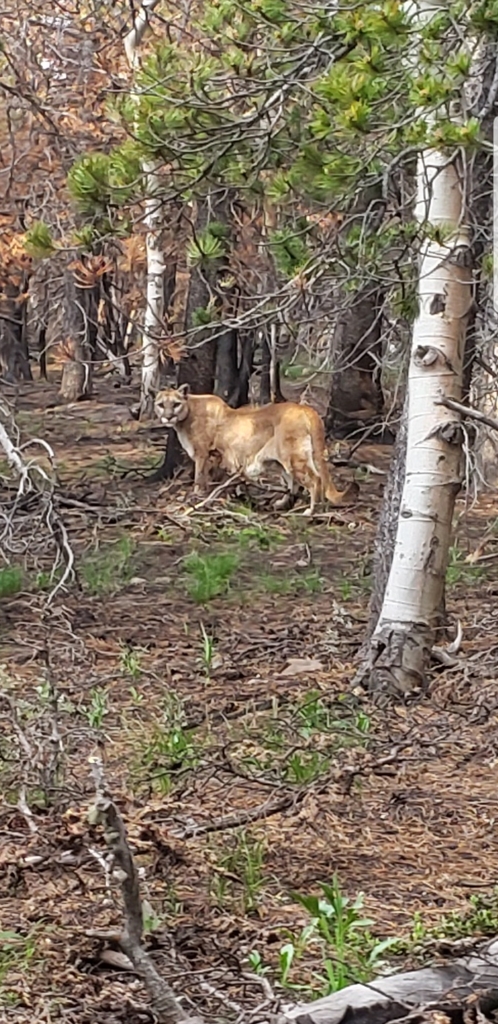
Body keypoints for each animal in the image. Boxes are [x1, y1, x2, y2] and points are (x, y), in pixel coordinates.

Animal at [154, 384, 358, 515]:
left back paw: (311, 510)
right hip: (281, 461)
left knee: (314, 479)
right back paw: (284, 504)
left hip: (293, 457)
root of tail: (306, 409)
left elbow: (199, 476)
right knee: (294, 483)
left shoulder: (202, 454)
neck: (187, 414)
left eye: (175, 404)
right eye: (161, 405)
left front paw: (197, 496)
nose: (168, 416)